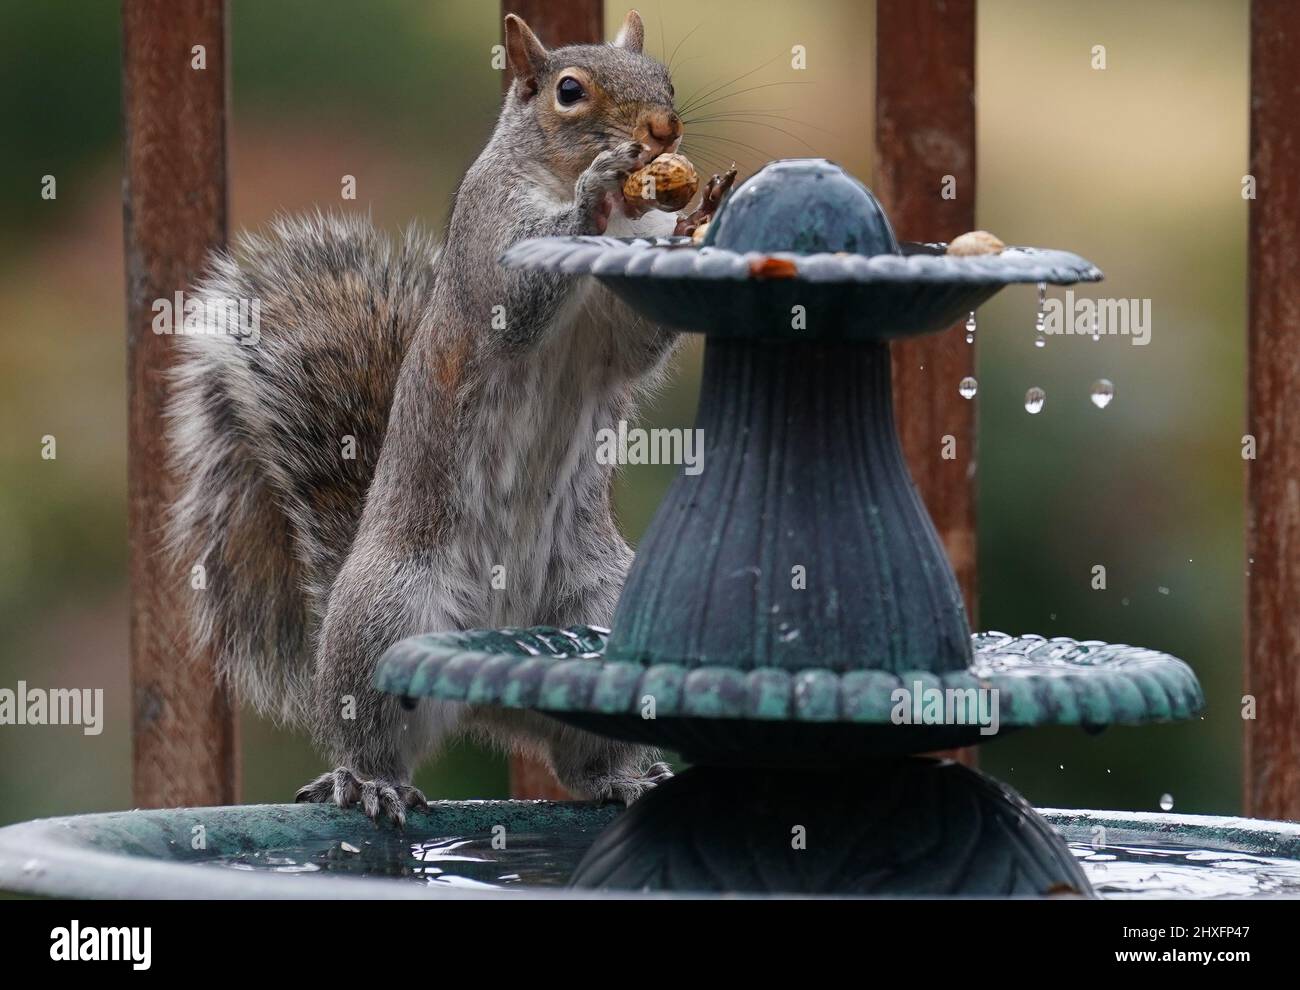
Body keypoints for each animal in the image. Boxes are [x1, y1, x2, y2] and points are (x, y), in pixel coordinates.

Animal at [167, 10, 691, 824]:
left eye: (665, 77)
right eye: (570, 92)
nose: (664, 129)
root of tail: (494, 700)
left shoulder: (618, 324)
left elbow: (638, 343)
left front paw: (702, 217)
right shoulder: (487, 240)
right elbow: (517, 302)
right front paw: (594, 193)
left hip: (603, 603)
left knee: (582, 761)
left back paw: (625, 779)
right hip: (389, 618)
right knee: (369, 733)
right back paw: (365, 782)